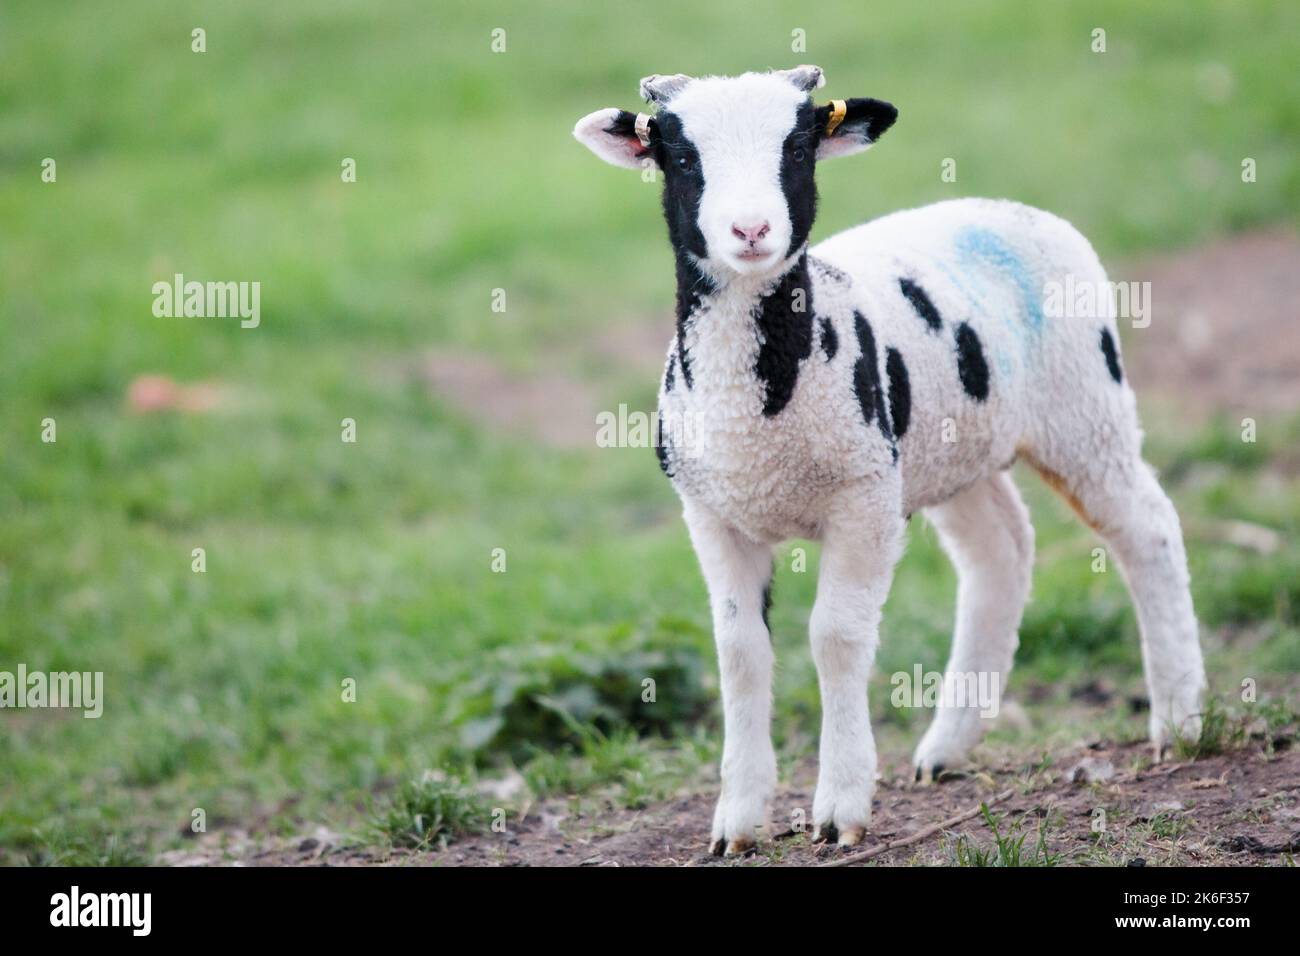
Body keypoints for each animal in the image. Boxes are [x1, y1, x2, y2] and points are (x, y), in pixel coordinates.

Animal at [573, 66, 1205, 856]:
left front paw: (840, 808)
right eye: (682, 158)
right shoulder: (713, 512)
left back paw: (1178, 719)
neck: (762, 403)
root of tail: (1012, 208)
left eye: (798, 149)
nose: (750, 231)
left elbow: (836, 638)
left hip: (1084, 403)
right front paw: (737, 822)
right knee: (1000, 552)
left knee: (1146, 528)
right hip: (952, 447)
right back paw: (947, 748)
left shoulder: (865, 495)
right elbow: (740, 651)